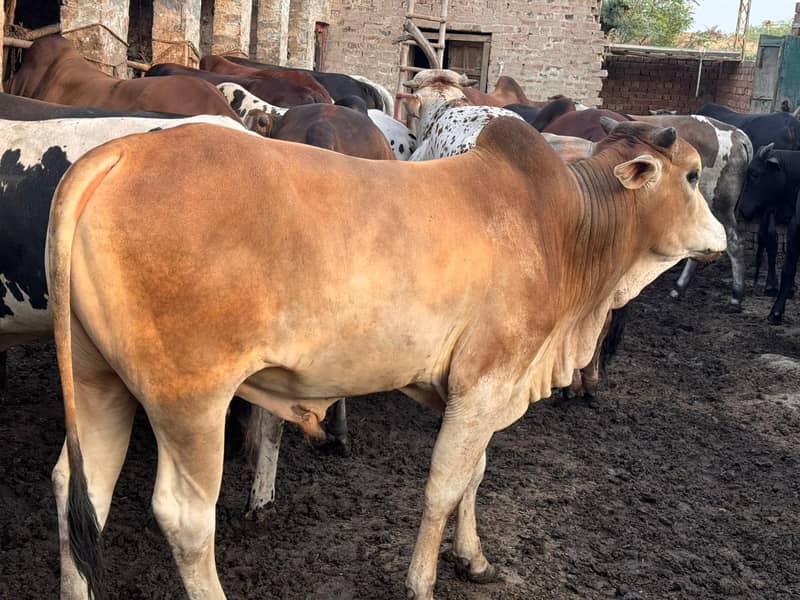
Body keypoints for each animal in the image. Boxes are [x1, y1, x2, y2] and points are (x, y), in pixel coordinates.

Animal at [45, 117, 725, 600]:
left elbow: (474, 476)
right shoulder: (485, 380)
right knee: (185, 518)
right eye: (693, 176)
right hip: (190, 401)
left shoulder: (489, 391)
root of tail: (121, 154)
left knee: (78, 490)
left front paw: (474, 559)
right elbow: (444, 484)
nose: (721, 238)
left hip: (98, 380)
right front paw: (422, 582)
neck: (567, 230)